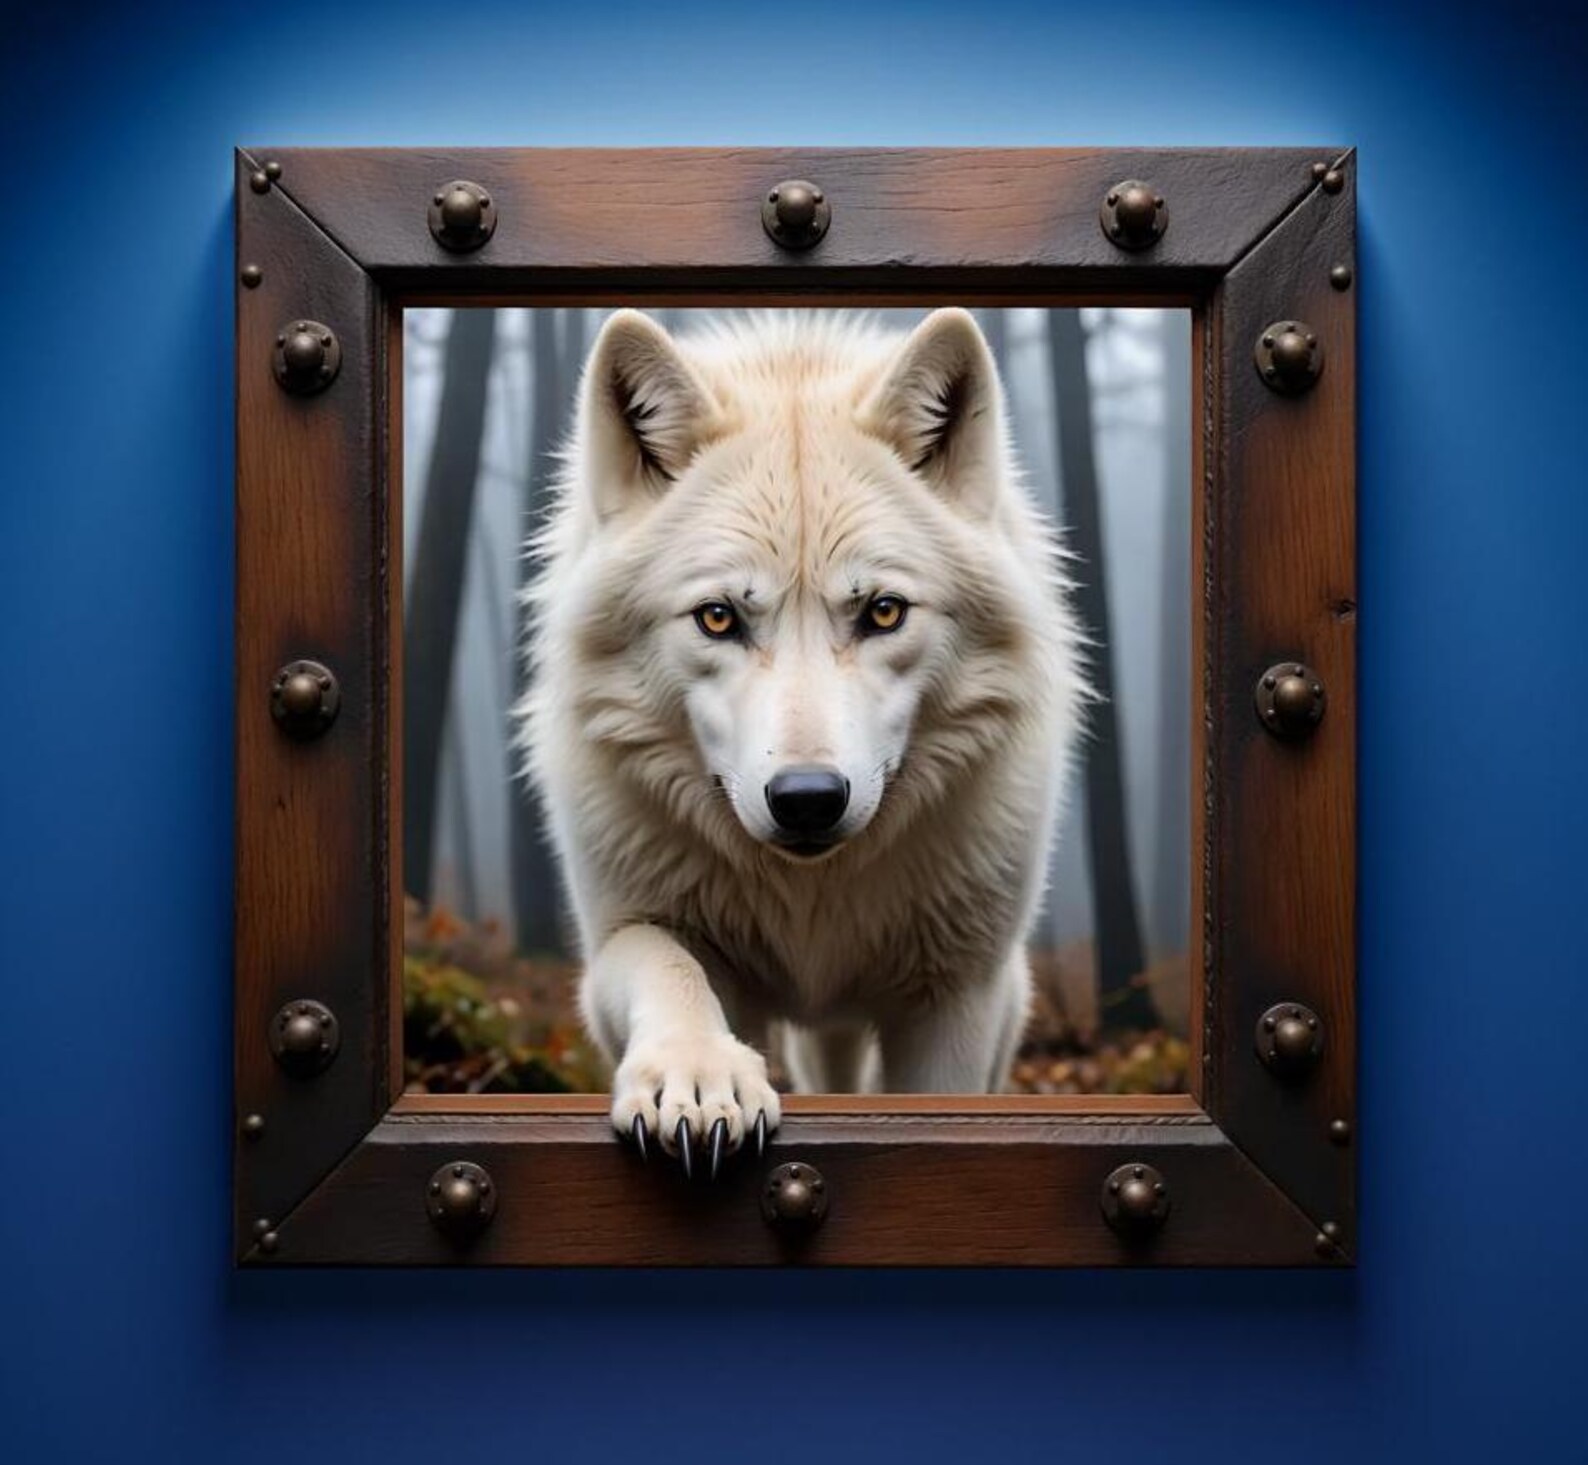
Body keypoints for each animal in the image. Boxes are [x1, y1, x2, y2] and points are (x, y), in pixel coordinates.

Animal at [519, 307, 1087, 1176]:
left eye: (883, 611)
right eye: (718, 616)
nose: (809, 801)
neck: (810, 897)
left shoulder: (958, 993)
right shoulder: (623, 935)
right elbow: (667, 963)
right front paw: (696, 1079)